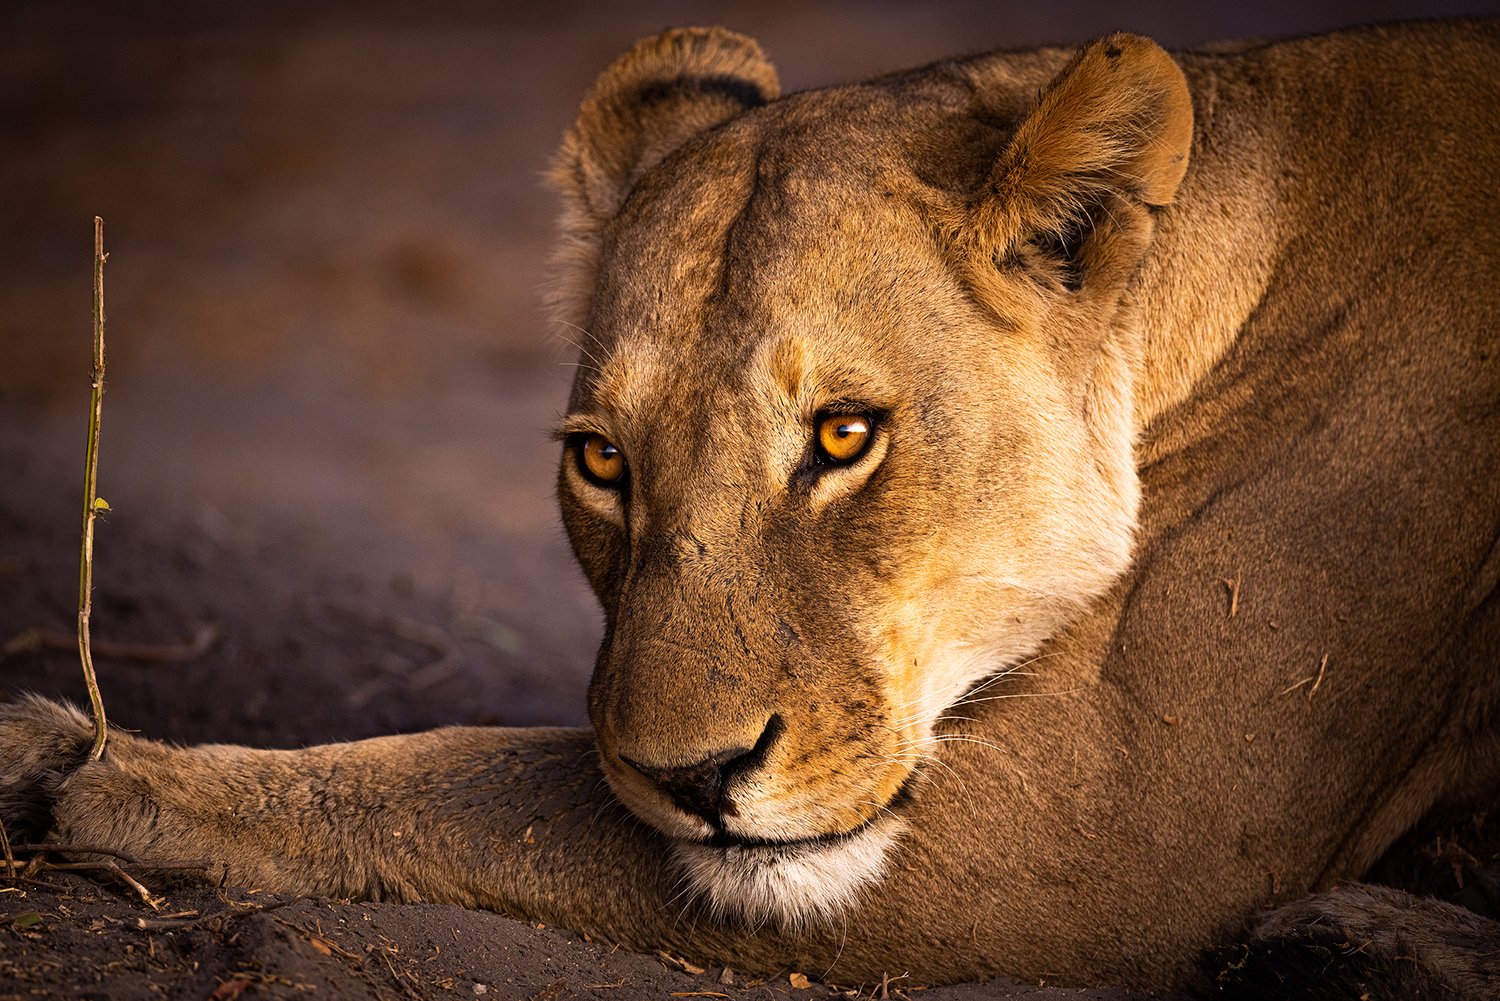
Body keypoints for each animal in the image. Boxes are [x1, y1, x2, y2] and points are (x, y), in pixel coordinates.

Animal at [3, 18, 1498, 996]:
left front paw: (102, 767)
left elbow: (491, 775)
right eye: (602, 460)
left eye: (844, 435)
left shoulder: (1111, 828)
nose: (693, 779)